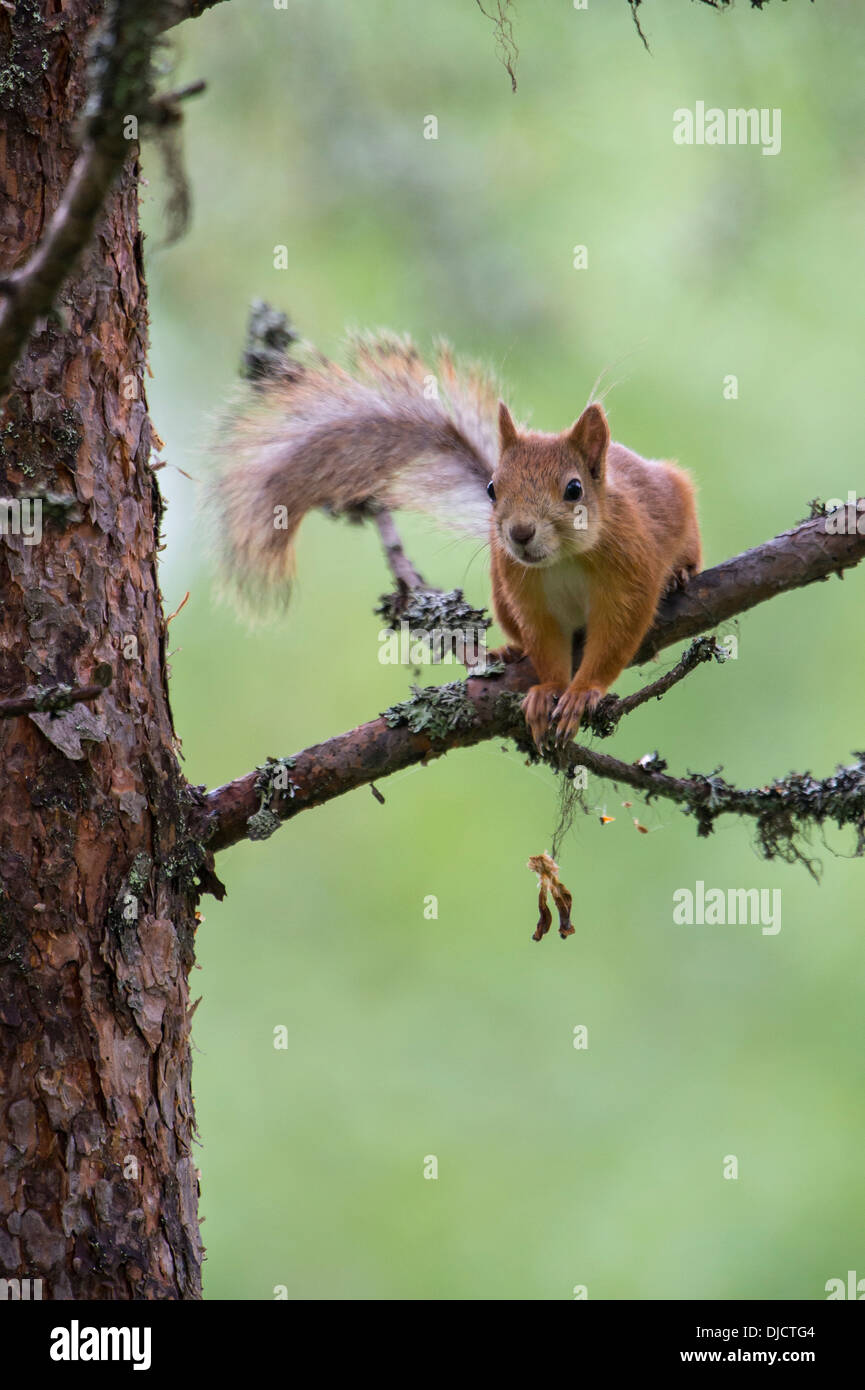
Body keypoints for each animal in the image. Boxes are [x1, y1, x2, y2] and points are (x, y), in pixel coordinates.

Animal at [206, 331, 701, 745]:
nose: (519, 533)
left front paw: (582, 692)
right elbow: (545, 642)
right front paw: (549, 690)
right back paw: (510, 650)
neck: (562, 559)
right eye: (492, 489)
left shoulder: (630, 572)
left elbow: (617, 635)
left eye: (574, 489)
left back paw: (680, 573)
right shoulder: (525, 593)